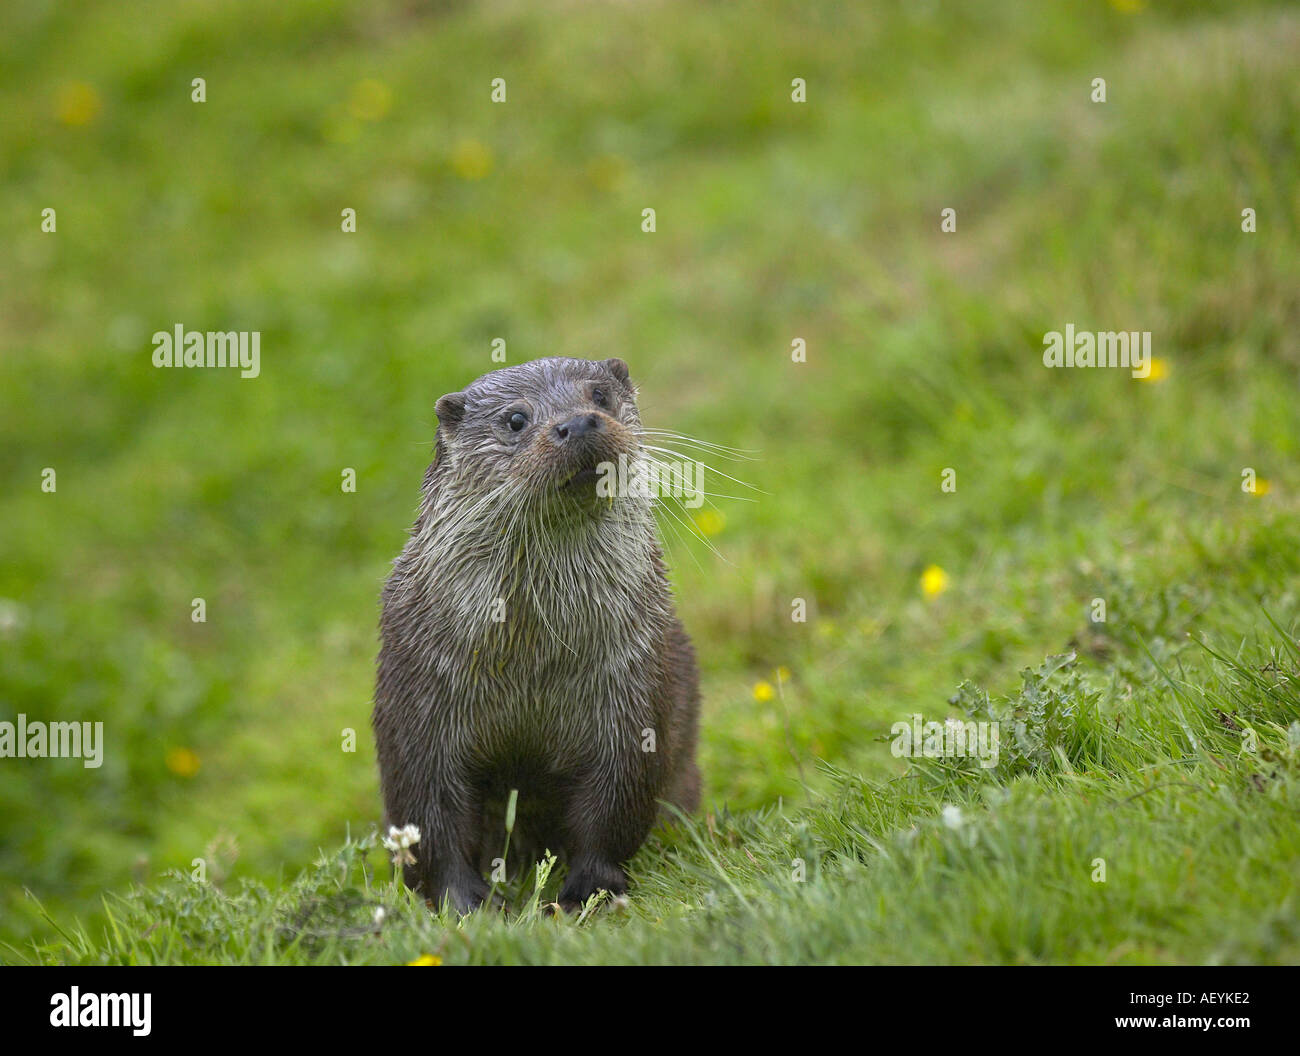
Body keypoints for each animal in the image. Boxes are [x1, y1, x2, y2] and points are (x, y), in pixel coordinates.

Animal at [373, 356, 701, 912]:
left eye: (599, 396)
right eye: (515, 419)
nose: (578, 423)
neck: (532, 658)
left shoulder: (632, 689)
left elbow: (613, 804)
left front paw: (588, 890)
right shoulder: (418, 700)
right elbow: (431, 817)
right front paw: (464, 903)